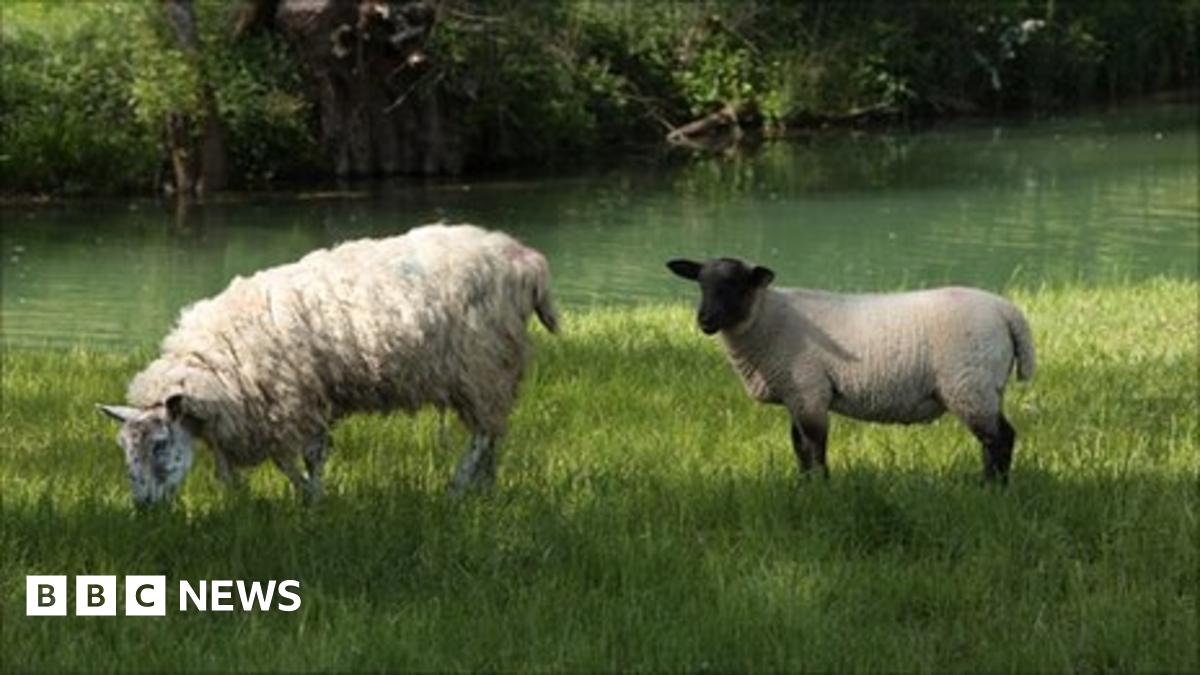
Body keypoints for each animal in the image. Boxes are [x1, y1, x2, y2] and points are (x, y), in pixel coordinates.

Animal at [99, 224, 558, 507]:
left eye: (160, 444)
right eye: (124, 448)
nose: (143, 508)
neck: (220, 359)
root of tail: (524, 258)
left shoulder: (299, 397)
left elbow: (305, 457)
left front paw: (312, 500)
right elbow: (257, 463)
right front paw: (253, 498)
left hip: (481, 363)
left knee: (482, 435)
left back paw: (457, 490)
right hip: (490, 370)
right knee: (493, 433)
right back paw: (484, 488)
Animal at [666, 257, 1035, 484]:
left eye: (737, 285)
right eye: (701, 285)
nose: (704, 320)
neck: (766, 318)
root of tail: (1007, 312)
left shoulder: (809, 390)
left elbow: (815, 446)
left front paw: (822, 488)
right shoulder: (795, 395)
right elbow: (798, 446)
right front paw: (803, 486)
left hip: (969, 385)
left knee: (999, 439)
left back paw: (992, 489)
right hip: (986, 388)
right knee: (995, 439)